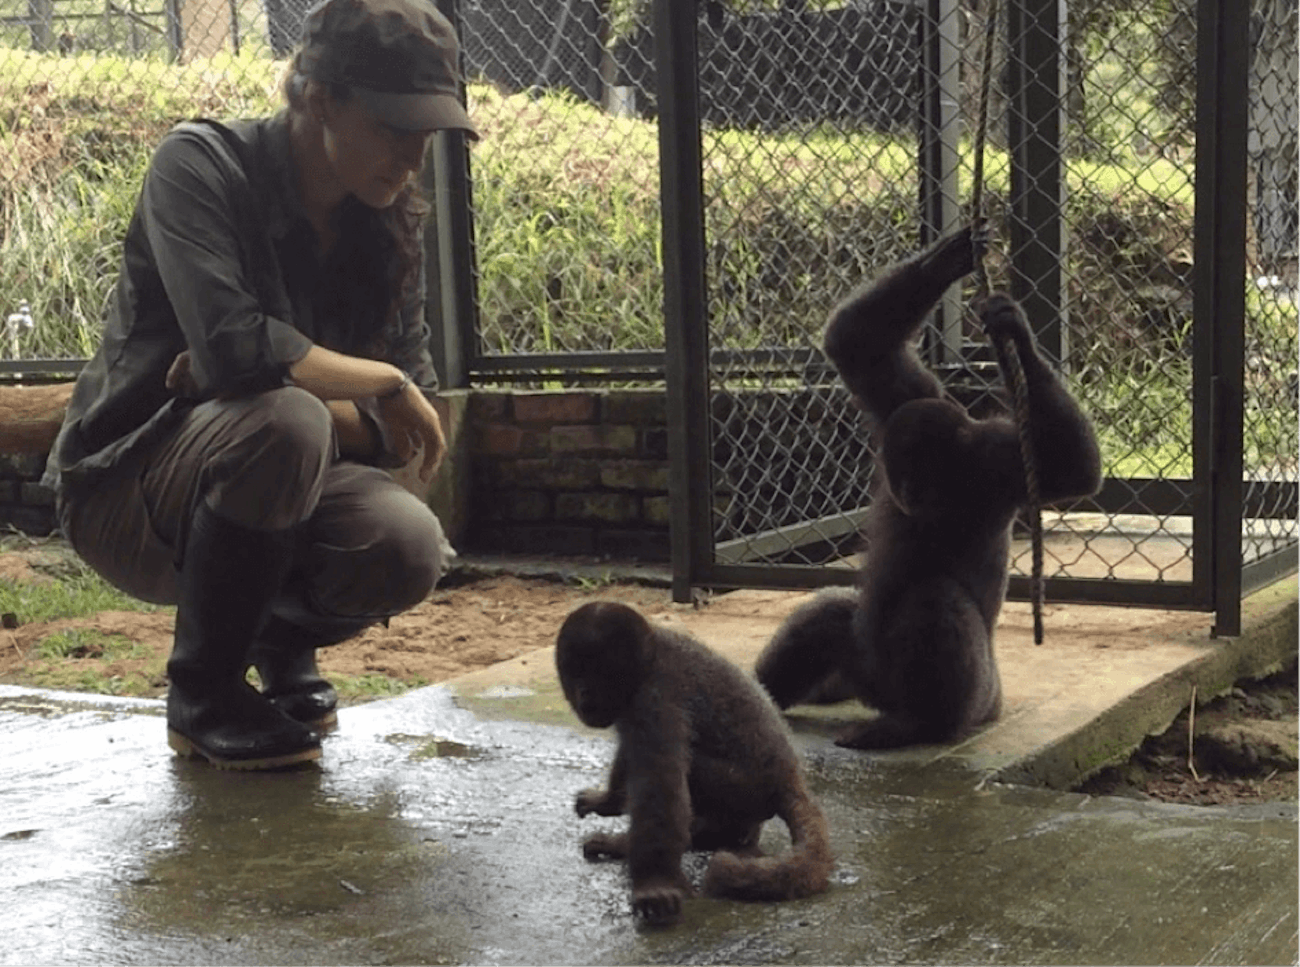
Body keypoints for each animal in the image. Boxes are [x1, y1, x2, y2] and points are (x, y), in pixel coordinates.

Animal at [555, 601, 833, 926]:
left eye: (601, 673)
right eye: (575, 671)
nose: (584, 692)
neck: (649, 659)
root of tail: (791, 777)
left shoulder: (654, 698)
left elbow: (660, 784)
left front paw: (654, 886)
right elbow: (629, 754)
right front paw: (608, 800)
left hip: (745, 789)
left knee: (693, 770)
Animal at [756, 224, 1102, 750]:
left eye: (920, 469)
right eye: (900, 469)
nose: (907, 489)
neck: (951, 475)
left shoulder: (996, 462)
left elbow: (1071, 467)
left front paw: (1014, 333)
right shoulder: (899, 403)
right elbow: (859, 346)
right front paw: (947, 259)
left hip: (978, 697)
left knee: (936, 600)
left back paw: (923, 725)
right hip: (863, 669)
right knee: (832, 612)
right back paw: (761, 695)